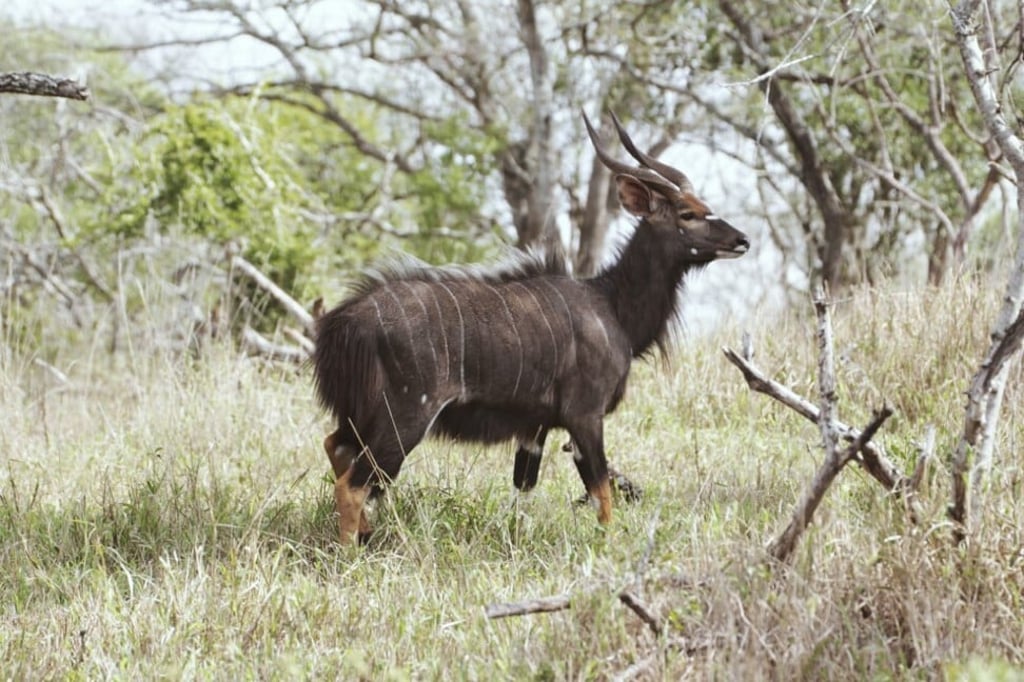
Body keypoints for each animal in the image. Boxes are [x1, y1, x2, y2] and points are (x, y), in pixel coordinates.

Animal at [314, 111, 750, 543]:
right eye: (687, 213)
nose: (742, 239)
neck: (610, 304)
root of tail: (345, 322)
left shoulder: (534, 427)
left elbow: (525, 488)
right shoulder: (584, 415)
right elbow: (601, 491)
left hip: (360, 416)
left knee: (334, 446)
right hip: (405, 417)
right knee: (353, 484)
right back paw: (353, 550)